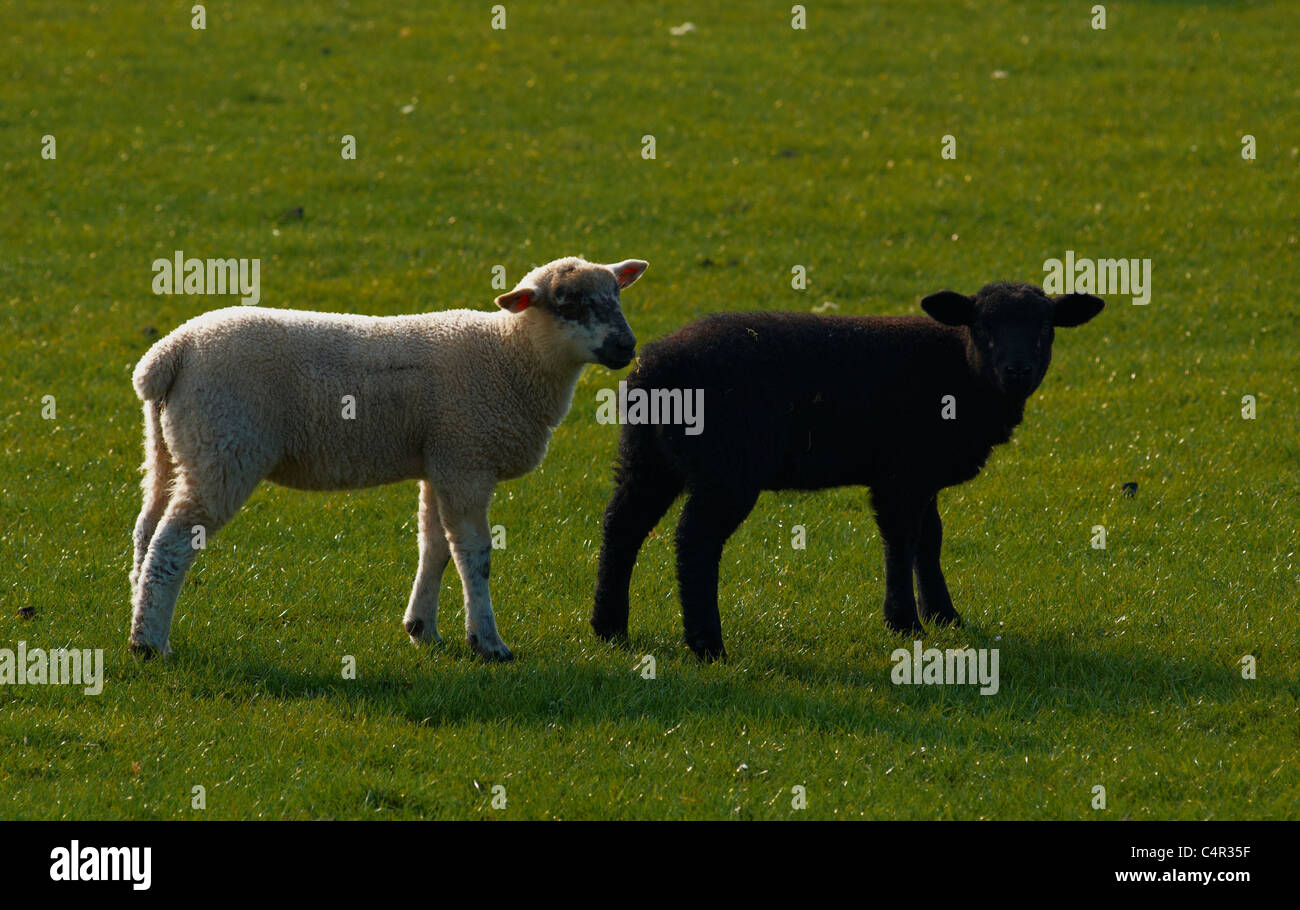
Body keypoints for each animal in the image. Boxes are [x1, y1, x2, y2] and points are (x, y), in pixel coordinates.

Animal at [128, 256, 648, 662]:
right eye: (568, 303)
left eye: (616, 295)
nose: (627, 346)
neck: (510, 356)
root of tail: (170, 352)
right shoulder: (467, 460)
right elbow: (474, 555)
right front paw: (487, 643)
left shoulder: (441, 462)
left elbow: (435, 547)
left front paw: (423, 630)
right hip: (225, 450)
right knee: (172, 544)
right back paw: (150, 646)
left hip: (171, 450)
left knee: (146, 530)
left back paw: (138, 620)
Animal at [591, 281, 1103, 660]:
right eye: (982, 325)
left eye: (1046, 326)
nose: (1018, 370)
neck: (961, 371)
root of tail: (653, 368)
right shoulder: (901, 474)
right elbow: (902, 540)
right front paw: (904, 623)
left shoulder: (922, 473)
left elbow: (930, 540)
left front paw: (945, 615)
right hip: (726, 468)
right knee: (694, 542)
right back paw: (707, 645)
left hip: (646, 458)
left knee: (622, 528)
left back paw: (609, 630)